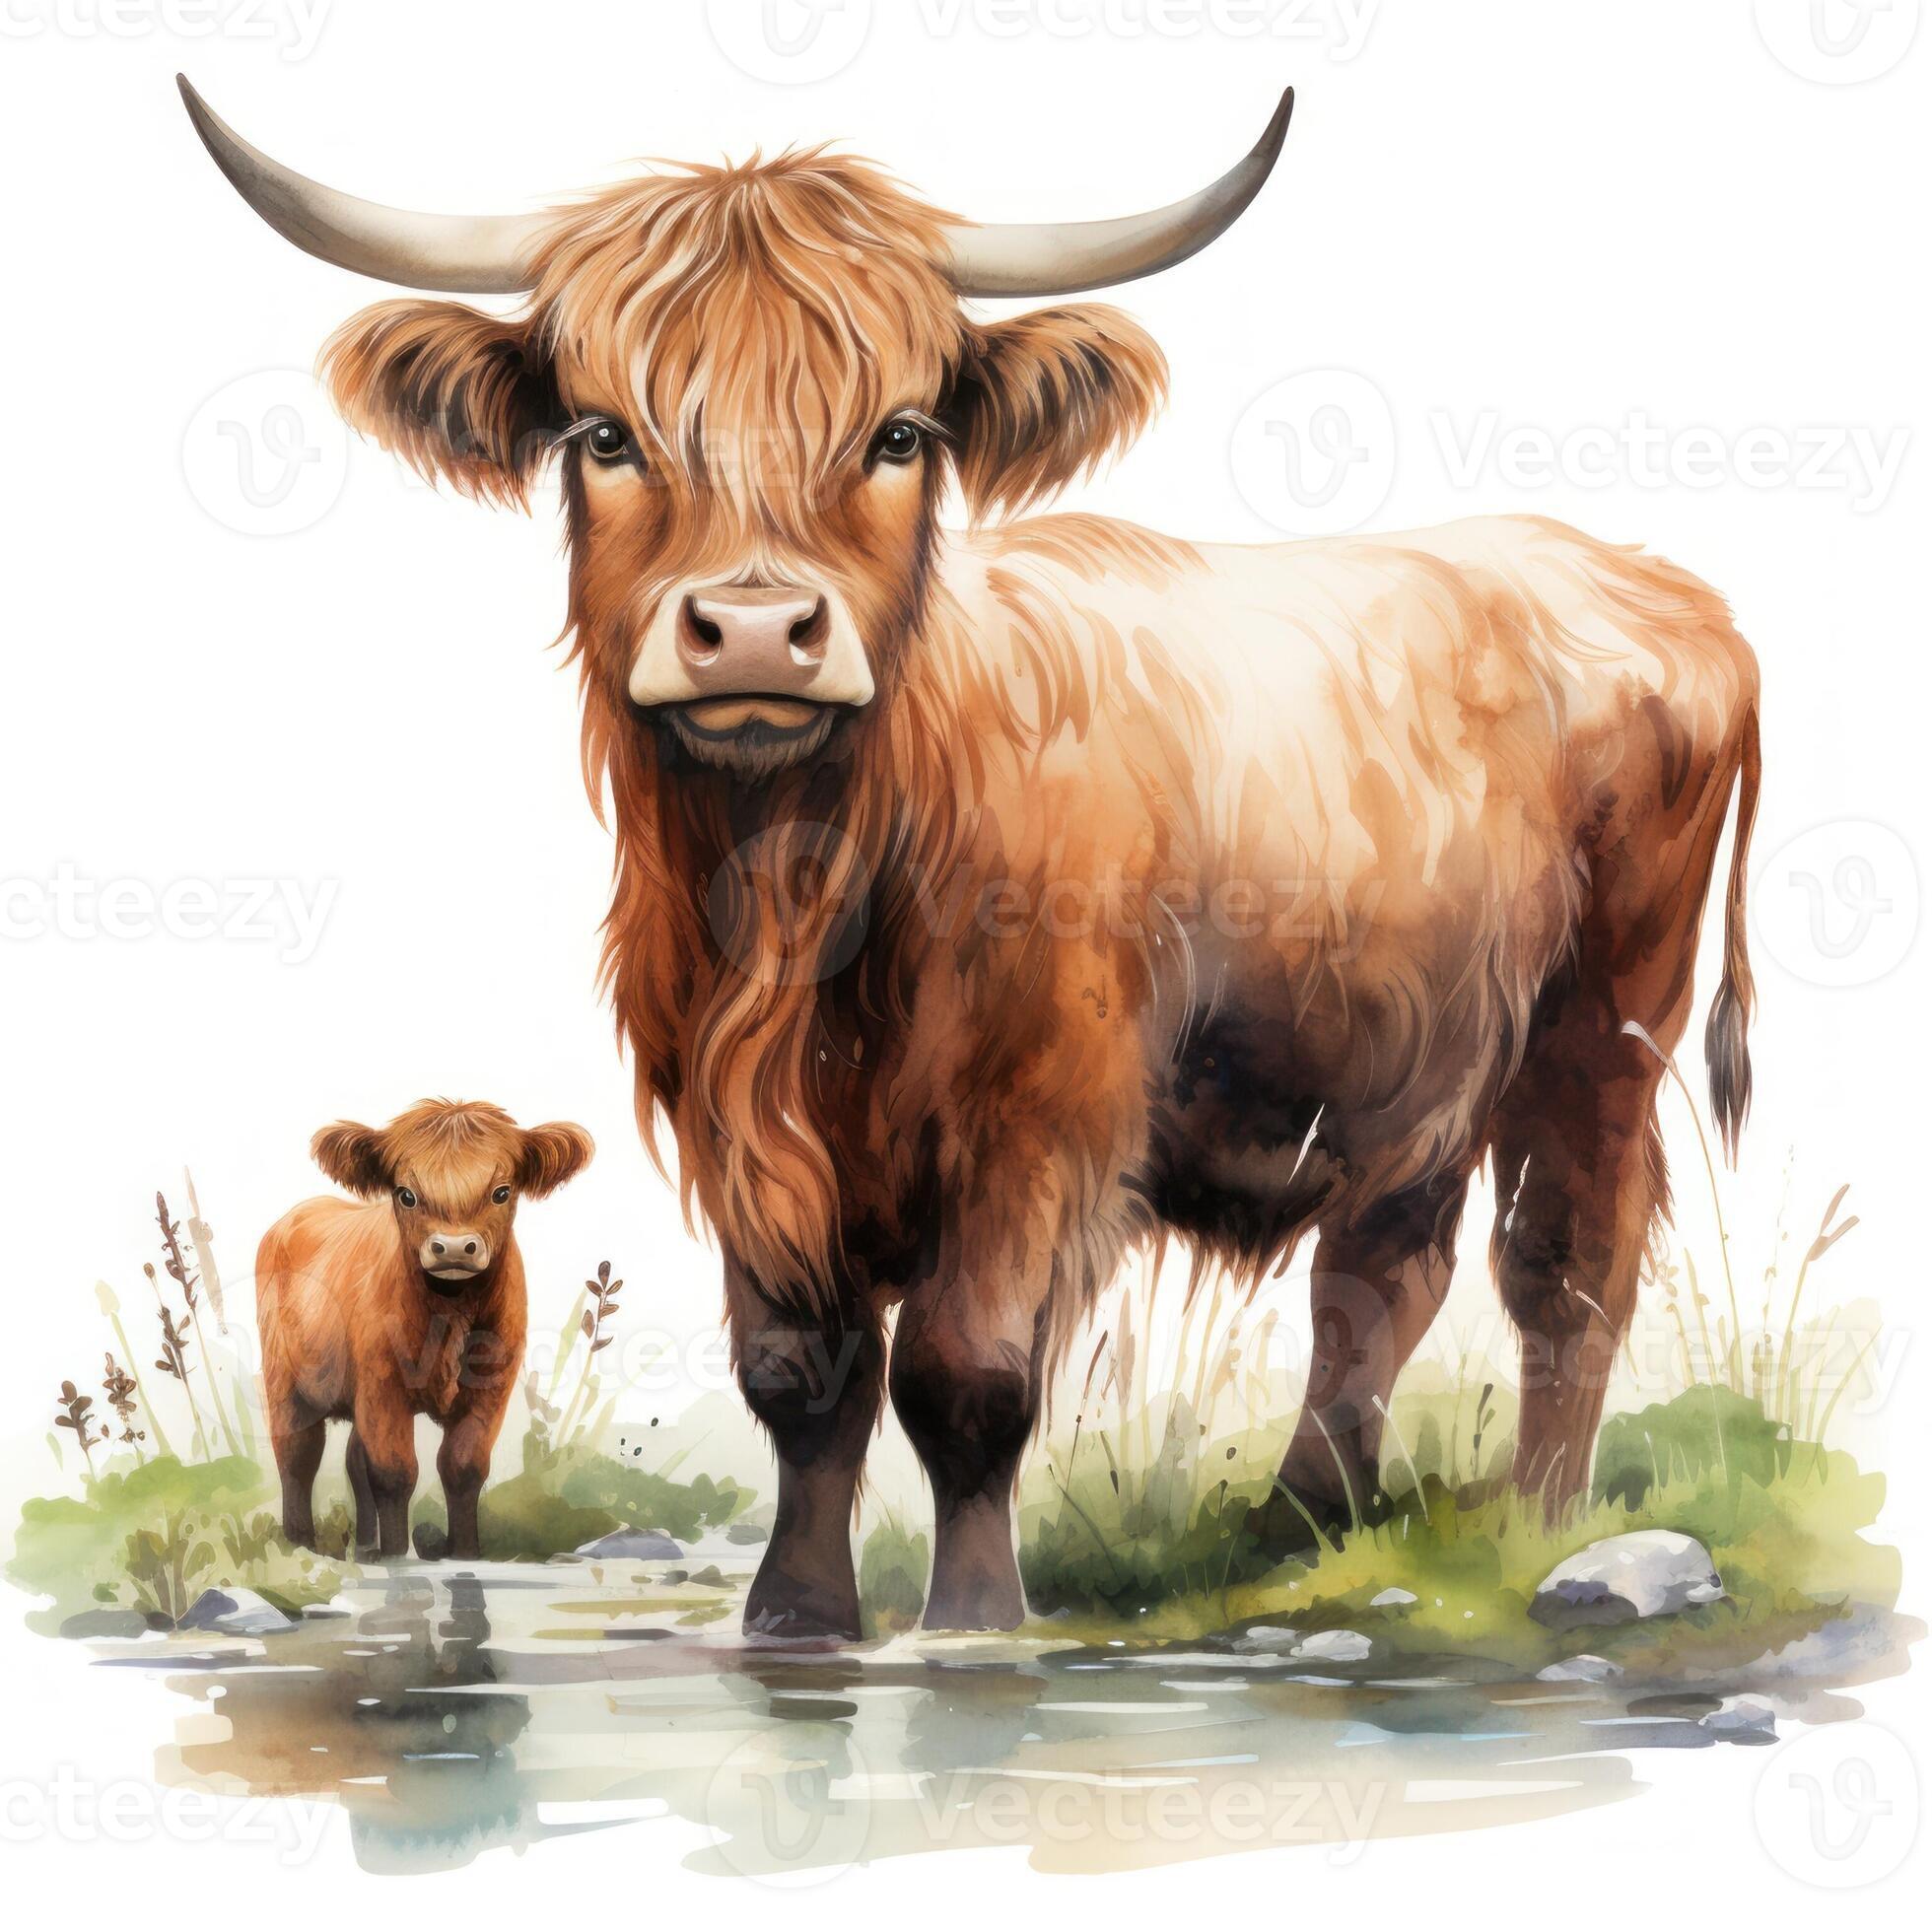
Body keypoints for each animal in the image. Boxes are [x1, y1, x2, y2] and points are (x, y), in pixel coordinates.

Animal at [258, 1100, 594, 1559]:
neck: (451, 1309)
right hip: (287, 1381)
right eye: (406, 1194)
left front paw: (464, 1552)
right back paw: (300, 1544)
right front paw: (398, 1556)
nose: (453, 1248)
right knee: (298, 1455)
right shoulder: (383, 1388)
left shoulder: (491, 1387)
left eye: (501, 1191)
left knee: (353, 1460)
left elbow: (462, 1467)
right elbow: (395, 1473)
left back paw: (365, 1547)